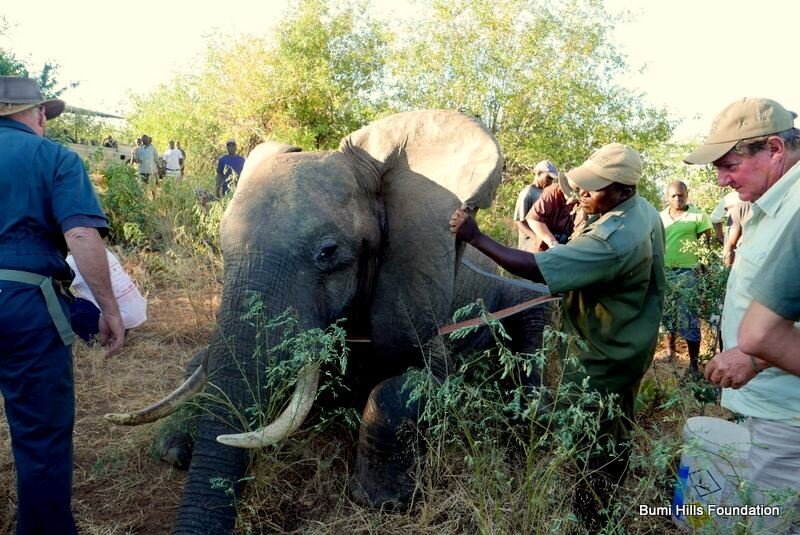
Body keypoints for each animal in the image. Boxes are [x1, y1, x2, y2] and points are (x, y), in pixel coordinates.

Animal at [105, 110, 551, 534]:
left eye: (329, 252)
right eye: (221, 243)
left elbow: (413, 385)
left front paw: (381, 500)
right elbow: (201, 365)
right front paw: (173, 446)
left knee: (533, 312)